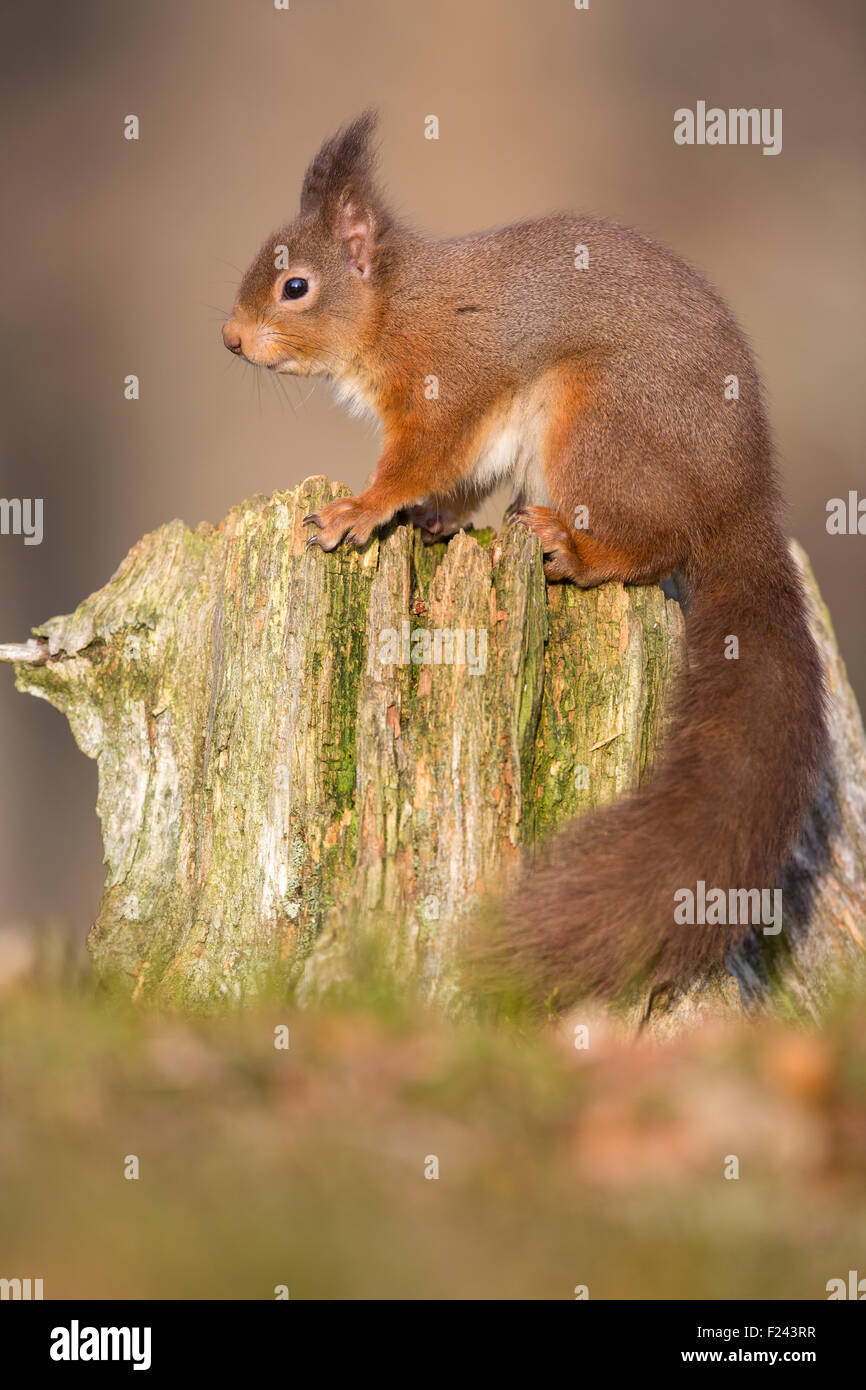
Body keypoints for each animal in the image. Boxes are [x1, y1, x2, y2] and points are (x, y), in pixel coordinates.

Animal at [223, 111, 827, 1003]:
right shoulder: (477, 434)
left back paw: (570, 548)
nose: (230, 340)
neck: (396, 308)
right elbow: (455, 481)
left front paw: (356, 511)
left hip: (597, 422)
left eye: (294, 287)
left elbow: (416, 462)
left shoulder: (448, 386)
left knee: (652, 549)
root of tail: (741, 507)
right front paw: (430, 520)